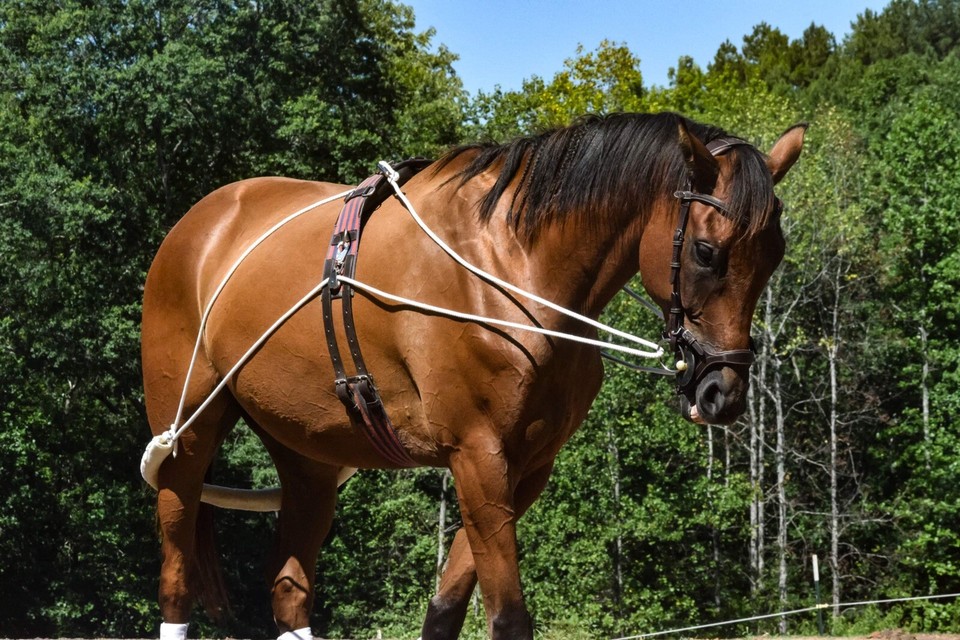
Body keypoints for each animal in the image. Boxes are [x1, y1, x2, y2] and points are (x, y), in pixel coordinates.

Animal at [140, 111, 804, 640]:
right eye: (706, 252)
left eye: (774, 254)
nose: (722, 392)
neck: (513, 269)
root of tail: (199, 224)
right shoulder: (477, 458)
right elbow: (508, 617)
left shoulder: (525, 469)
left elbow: (444, 610)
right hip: (186, 441)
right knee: (175, 583)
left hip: (310, 461)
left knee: (288, 593)